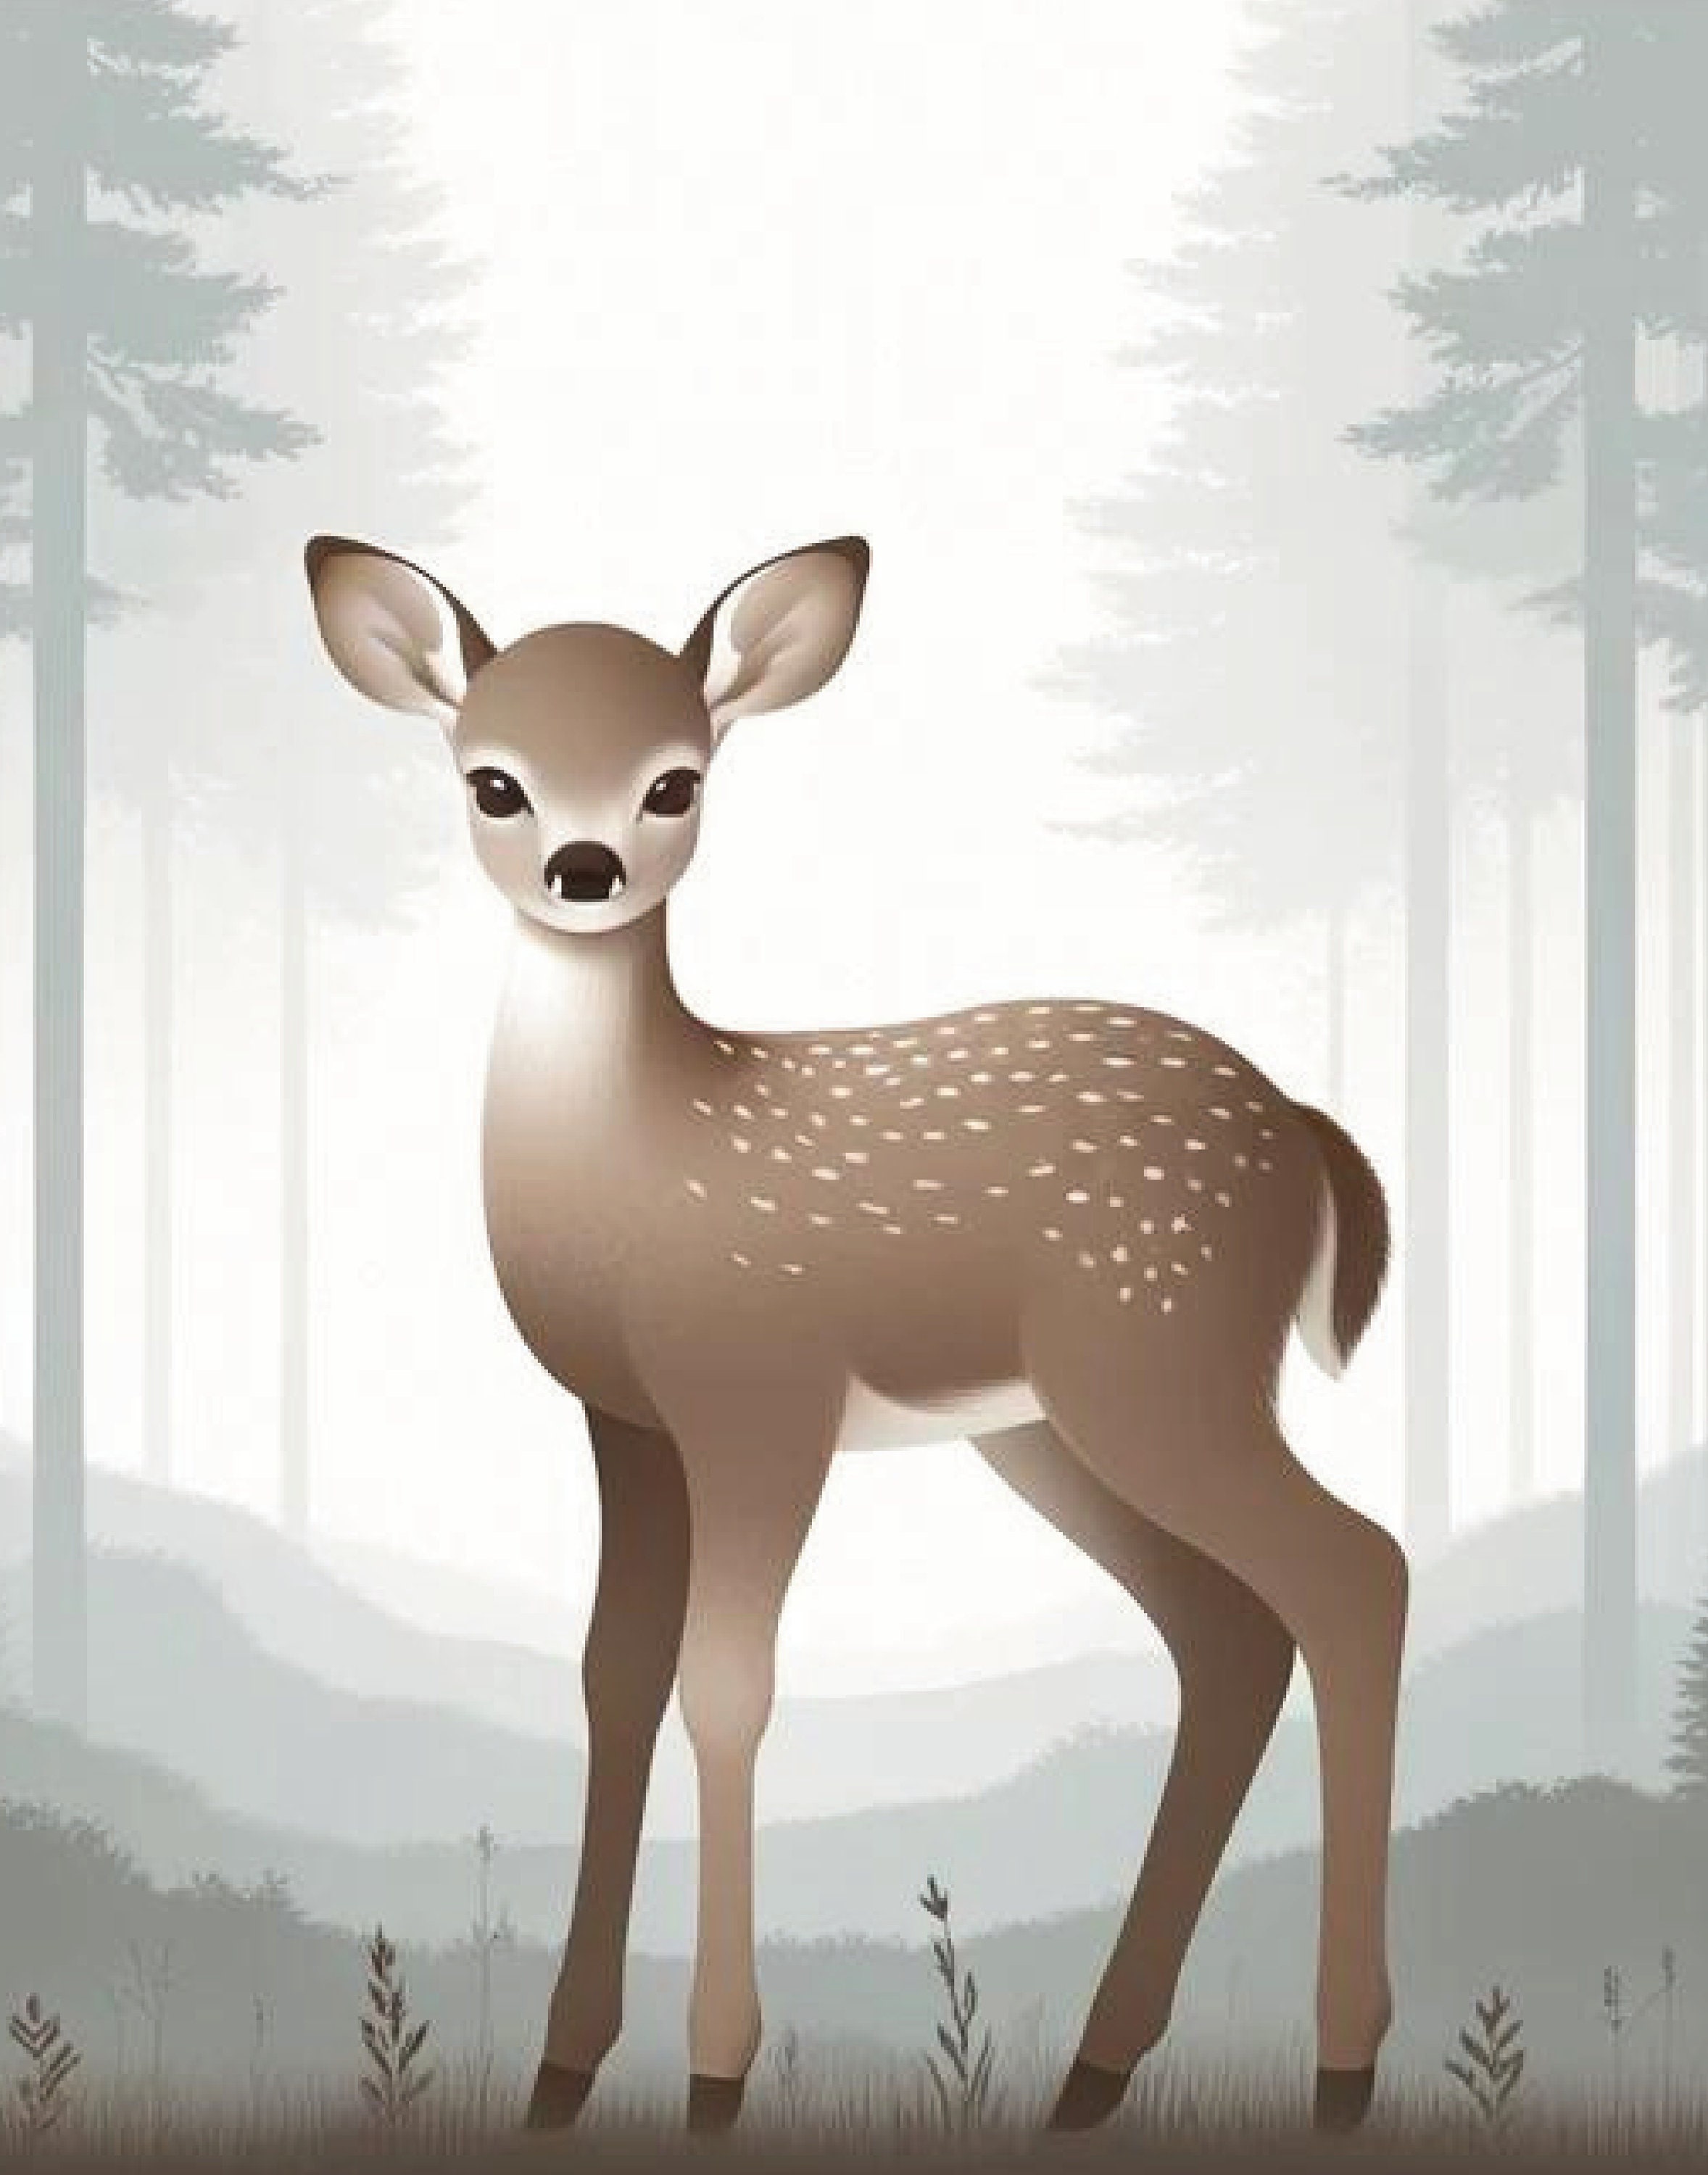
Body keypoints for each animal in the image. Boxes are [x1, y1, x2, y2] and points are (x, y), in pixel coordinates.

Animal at [304, 531, 1406, 2140]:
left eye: (675, 781)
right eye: (493, 780)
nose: (586, 869)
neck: (643, 1167)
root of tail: (1308, 1139)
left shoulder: (760, 1391)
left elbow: (726, 1688)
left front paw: (714, 2077)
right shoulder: (626, 1419)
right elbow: (614, 1677)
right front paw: (562, 2074)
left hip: (1157, 1354)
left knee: (1355, 1574)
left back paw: (1341, 2066)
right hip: (1051, 1425)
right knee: (1229, 1635)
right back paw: (1093, 2072)